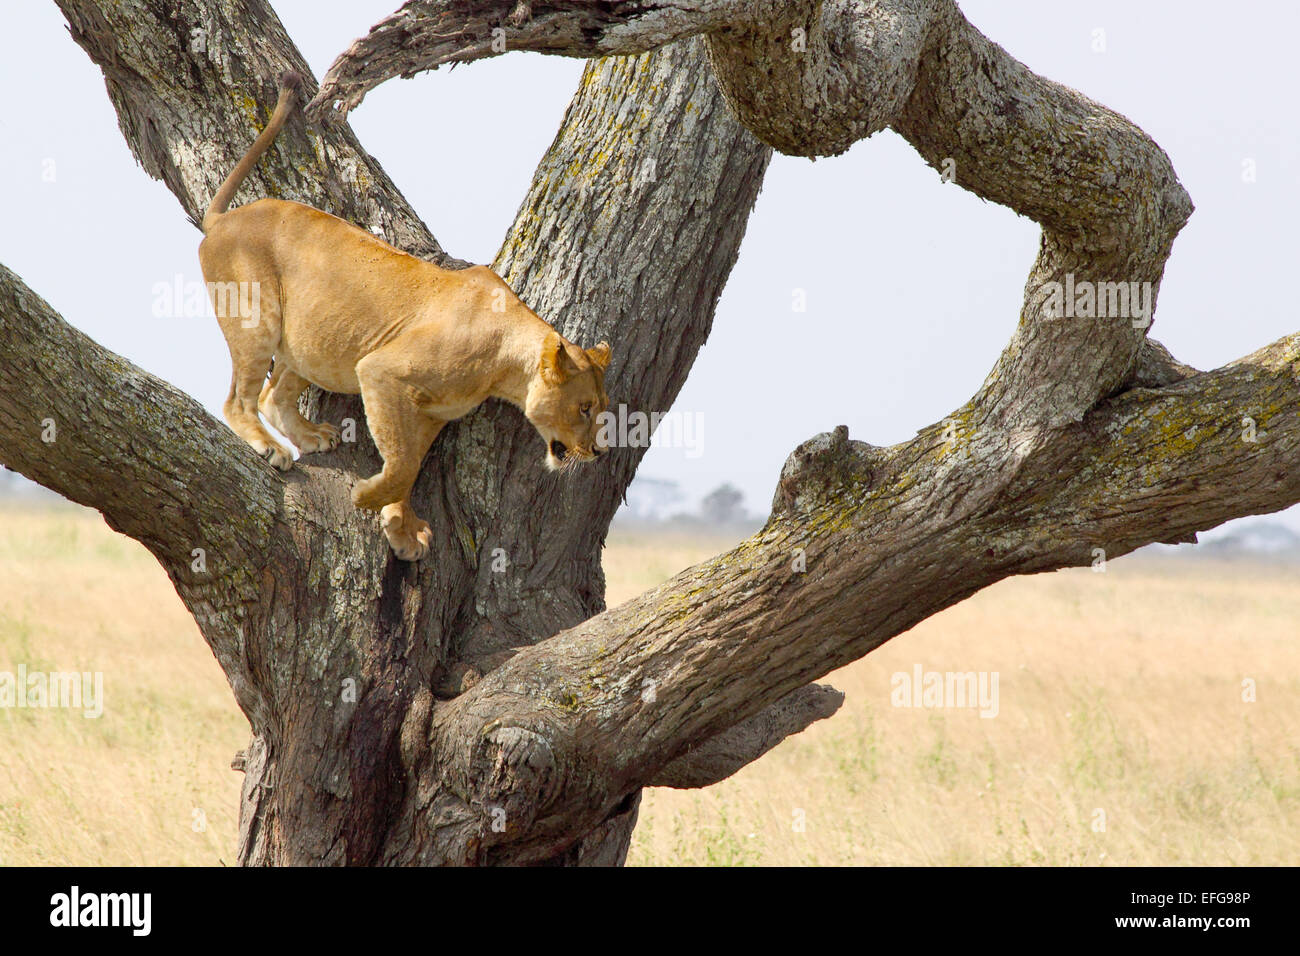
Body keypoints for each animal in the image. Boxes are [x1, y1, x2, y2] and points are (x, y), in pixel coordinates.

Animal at [198, 71, 611, 561]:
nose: (599, 453)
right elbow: (401, 464)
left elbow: (410, 465)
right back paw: (268, 446)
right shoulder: (381, 371)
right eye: (584, 407)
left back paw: (310, 436)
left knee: (272, 395)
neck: (505, 363)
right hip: (257, 318)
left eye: (600, 407)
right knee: (239, 400)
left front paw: (401, 527)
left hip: (311, 343)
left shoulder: (433, 412)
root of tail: (221, 220)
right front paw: (368, 498)